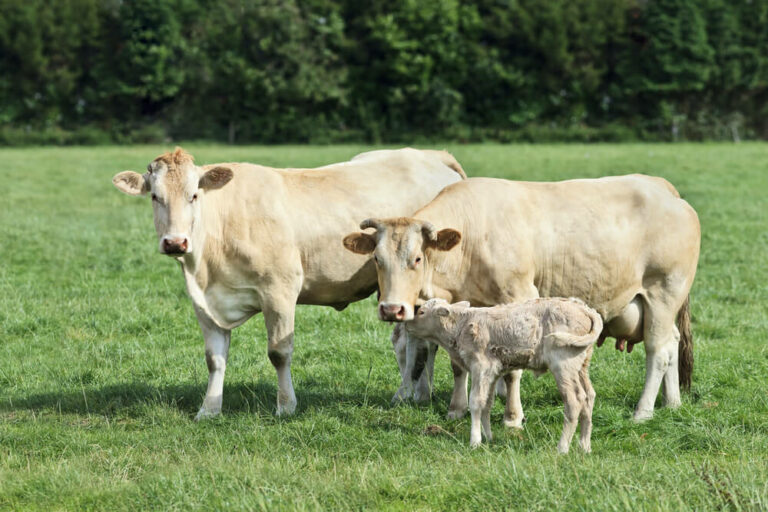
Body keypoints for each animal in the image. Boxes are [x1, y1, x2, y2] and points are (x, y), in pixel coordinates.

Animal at [112, 147, 465, 419]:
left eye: (193, 195)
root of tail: (431, 155)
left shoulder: (279, 290)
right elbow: (215, 359)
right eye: (155, 196)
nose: (175, 242)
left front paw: (285, 406)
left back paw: (413, 393)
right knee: (411, 341)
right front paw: (208, 410)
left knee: (420, 343)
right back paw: (413, 393)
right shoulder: (205, 302)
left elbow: (279, 353)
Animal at [343, 175, 700, 422]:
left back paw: (643, 411)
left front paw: (512, 416)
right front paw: (462, 409)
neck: (472, 238)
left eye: (416, 258)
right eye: (377, 259)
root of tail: (662, 188)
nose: (392, 309)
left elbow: (512, 369)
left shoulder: (519, 298)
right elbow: (460, 364)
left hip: (663, 292)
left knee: (658, 351)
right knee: (672, 343)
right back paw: (672, 403)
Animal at [406, 298, 602, 452]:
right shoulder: (493, 371)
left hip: (563, 365)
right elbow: (487, 404)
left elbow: (476, 402)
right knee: (589, 397)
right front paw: (488, 438)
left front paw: (475, 441)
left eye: (421, 312)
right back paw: (584, 447)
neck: (462, 325)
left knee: (574, 401)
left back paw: (562, 448)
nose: (406, 324)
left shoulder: (481, 366)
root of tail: (585, 309)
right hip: (582, 365)